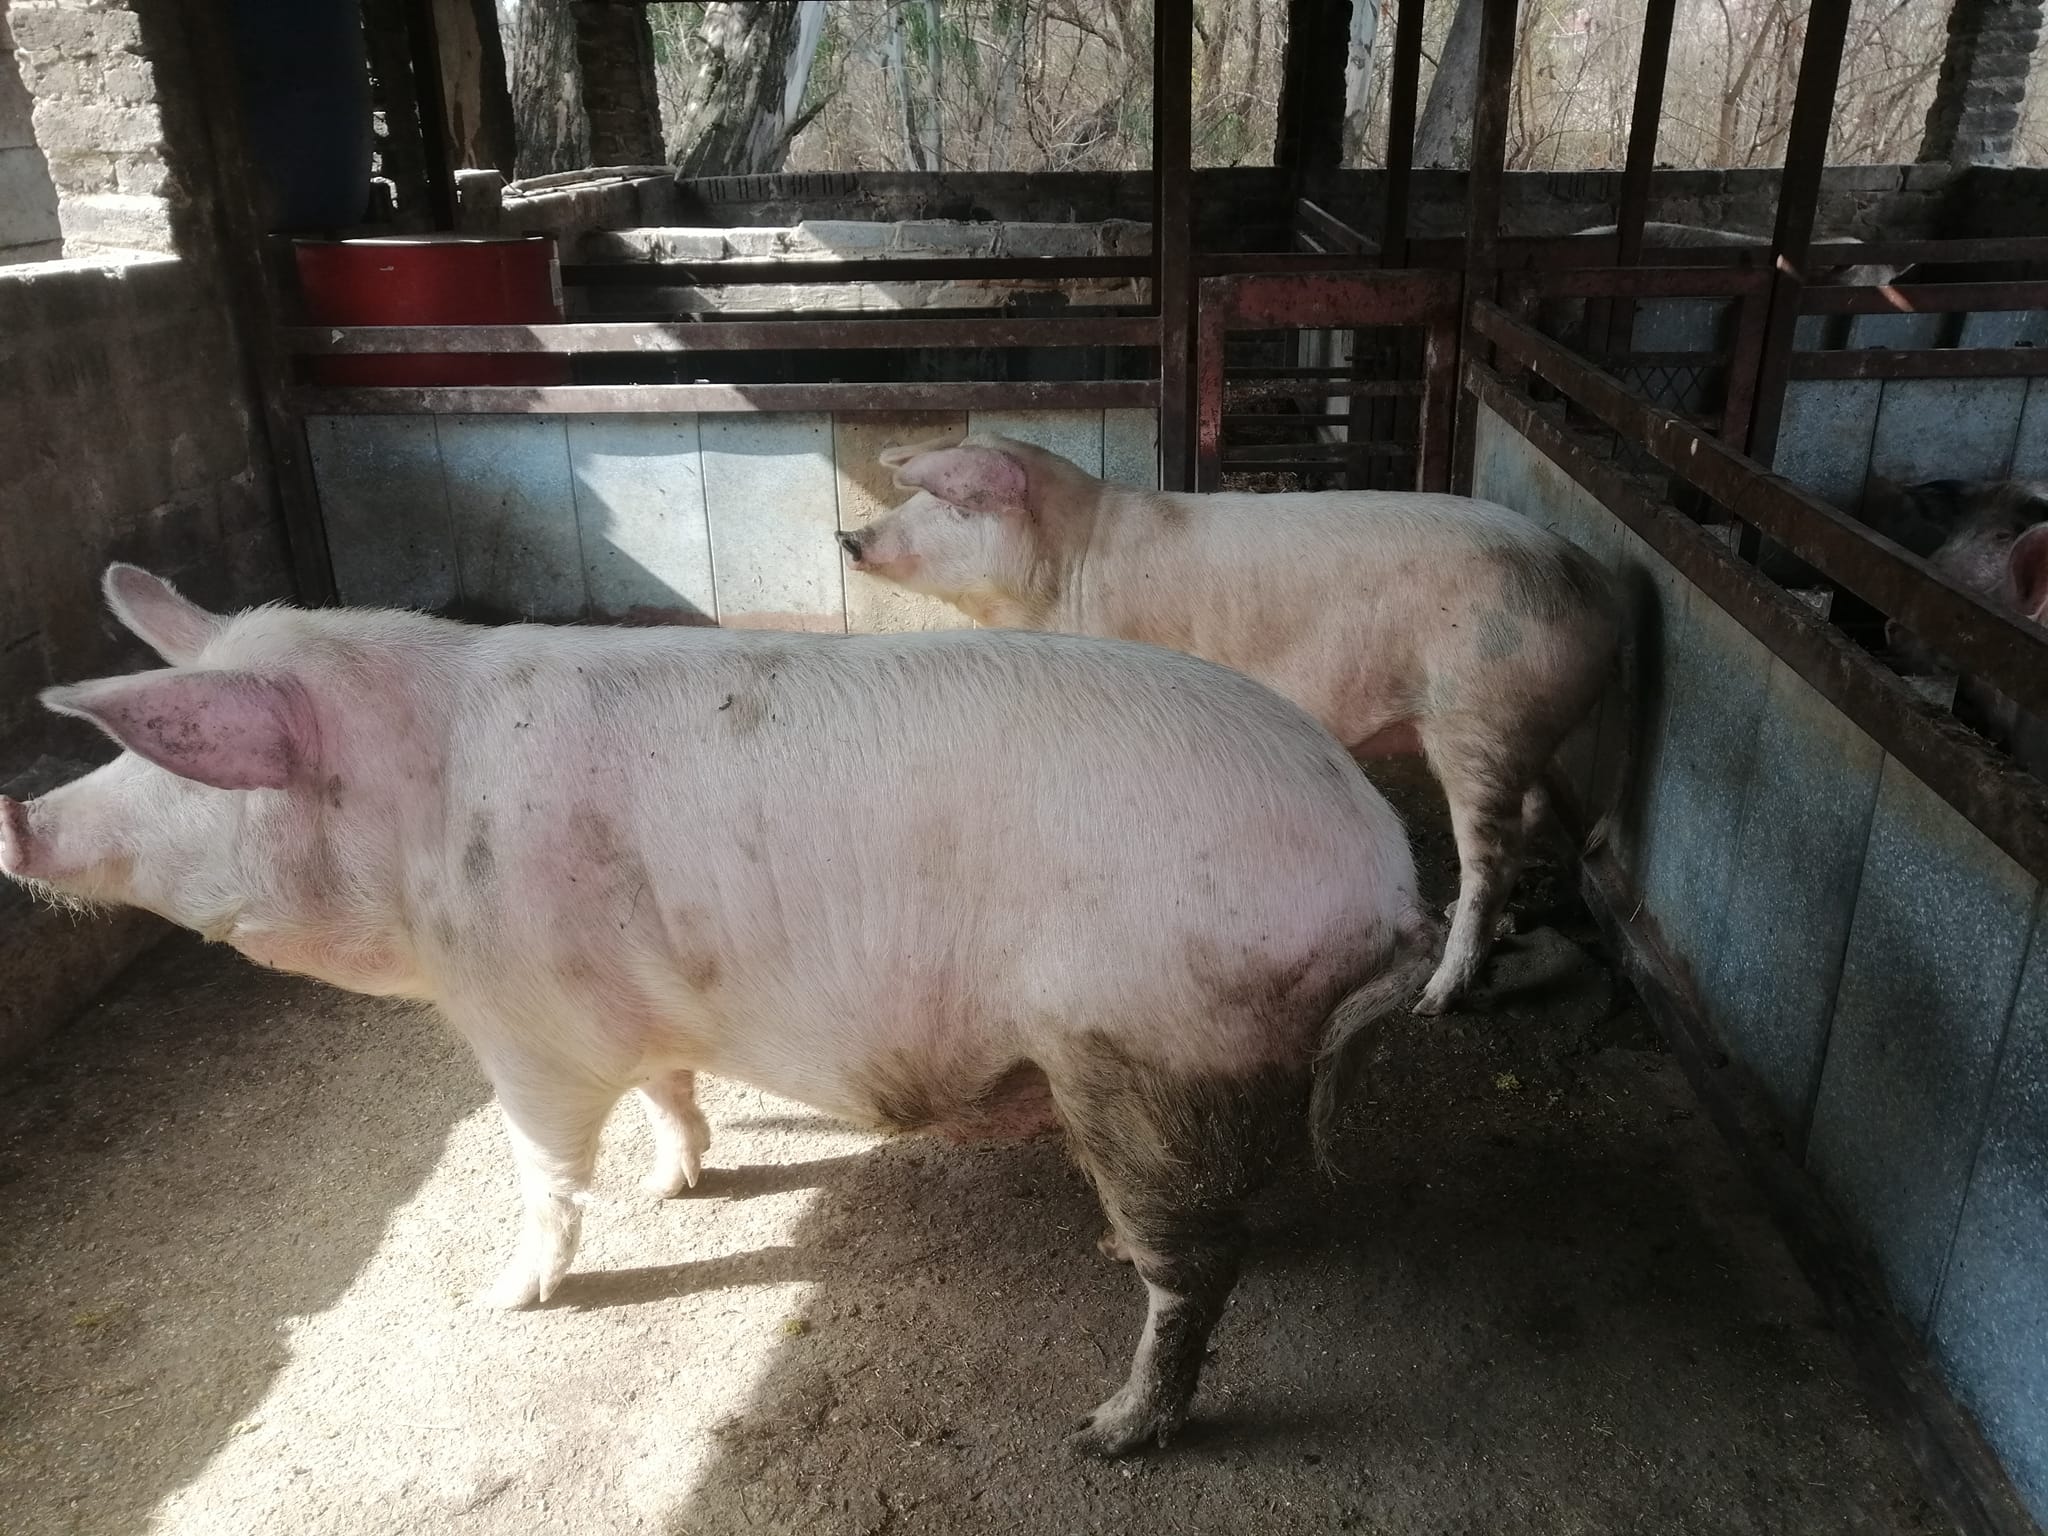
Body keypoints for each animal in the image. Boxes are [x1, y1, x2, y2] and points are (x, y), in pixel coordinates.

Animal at [0, 565, 1438, 1457]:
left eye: (171, 761)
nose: (19, 812)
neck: (419, 826)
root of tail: (1386, 872)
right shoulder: (636, 1009)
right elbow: (668, 1085)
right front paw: (676, 1182)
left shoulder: (521, 1020)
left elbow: (540, 1167)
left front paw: (503, 1297)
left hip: (1144, 1040)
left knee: (1197, 1266)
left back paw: (1106, 1433)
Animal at [838, 435, 1620, 1015]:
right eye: (917, 494)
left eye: (954, 507)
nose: (848, 535)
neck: (1064, 578)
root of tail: (1593, 584)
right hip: (1518, 732)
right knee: (1532, 819)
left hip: (1481, 716)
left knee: (1492, 855)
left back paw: (1434, 998)